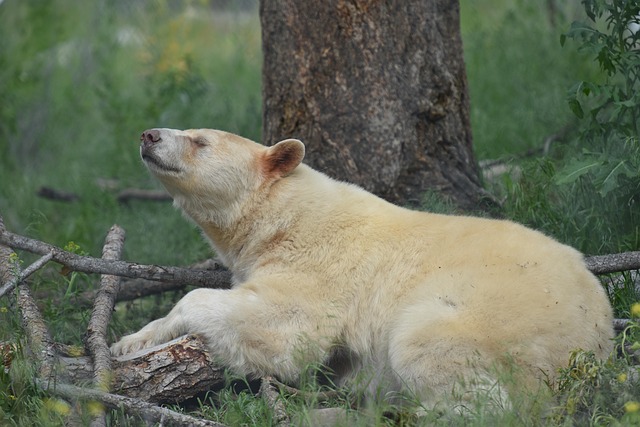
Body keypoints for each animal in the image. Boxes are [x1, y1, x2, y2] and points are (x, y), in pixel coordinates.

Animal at [111, 127, 614, 410]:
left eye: (200, 140)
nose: (149, 134)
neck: (283, 216)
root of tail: (600, 336)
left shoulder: (320, 264)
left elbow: (287, 326)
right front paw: (127, 342)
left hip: (503, 321)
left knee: (438, 353)